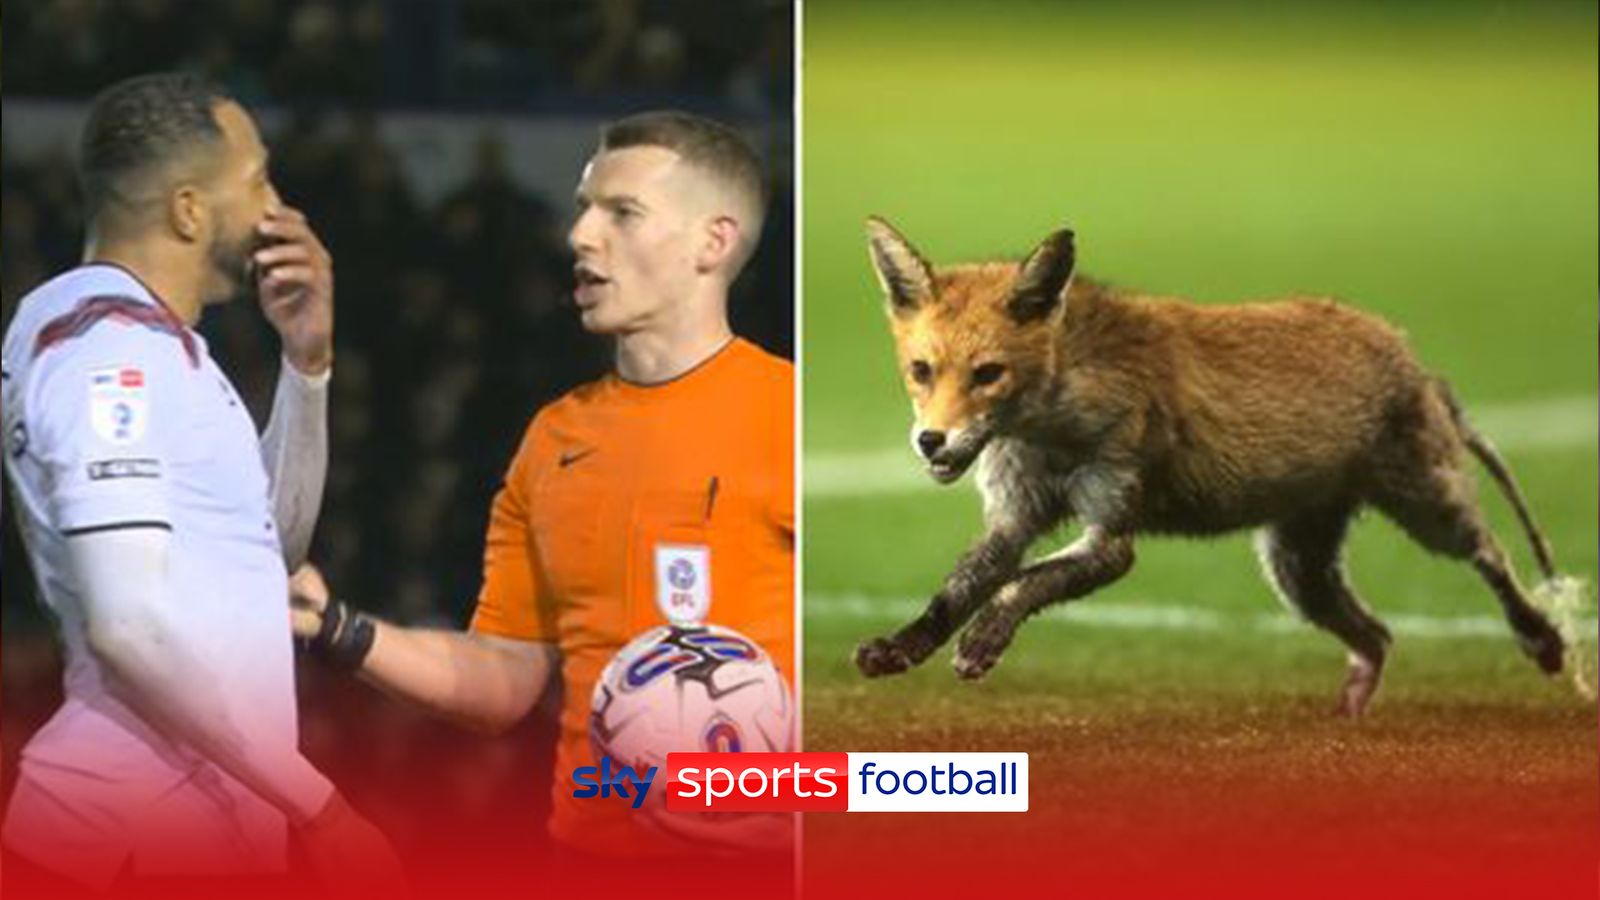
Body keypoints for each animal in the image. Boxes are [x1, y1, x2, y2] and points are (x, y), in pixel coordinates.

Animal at [855, 216, 1568, 716]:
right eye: (921, 371)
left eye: (988, 375)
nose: (931, 441)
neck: (1051, 430)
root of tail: (1408, 349)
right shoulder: (1013, 518)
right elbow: (957, 591)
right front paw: (903, 645)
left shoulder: (1112, 533)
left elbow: (1019, 586)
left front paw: (984, 640)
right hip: (1297, 571)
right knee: (1379, 636)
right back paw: (1349, 717)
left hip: (1427, 512)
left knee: (1493, 555)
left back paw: (1542, 637)